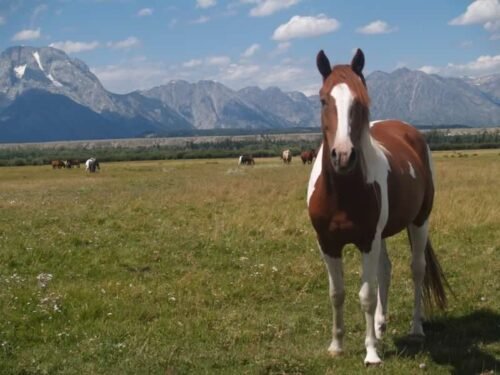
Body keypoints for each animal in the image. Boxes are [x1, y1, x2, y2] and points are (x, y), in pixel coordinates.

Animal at [306, 48, 448, 366]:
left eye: (360, 101)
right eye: (323, 100)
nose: (342, 156)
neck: (342, 192)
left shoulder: (367, 240)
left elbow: (366, 295)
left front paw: (371, 352)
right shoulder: (328, 243)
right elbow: (337, 293)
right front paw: (337, 345)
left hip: (419, 221)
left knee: (416, 269)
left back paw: (415, 329)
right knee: (386, 270)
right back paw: (382, 326)